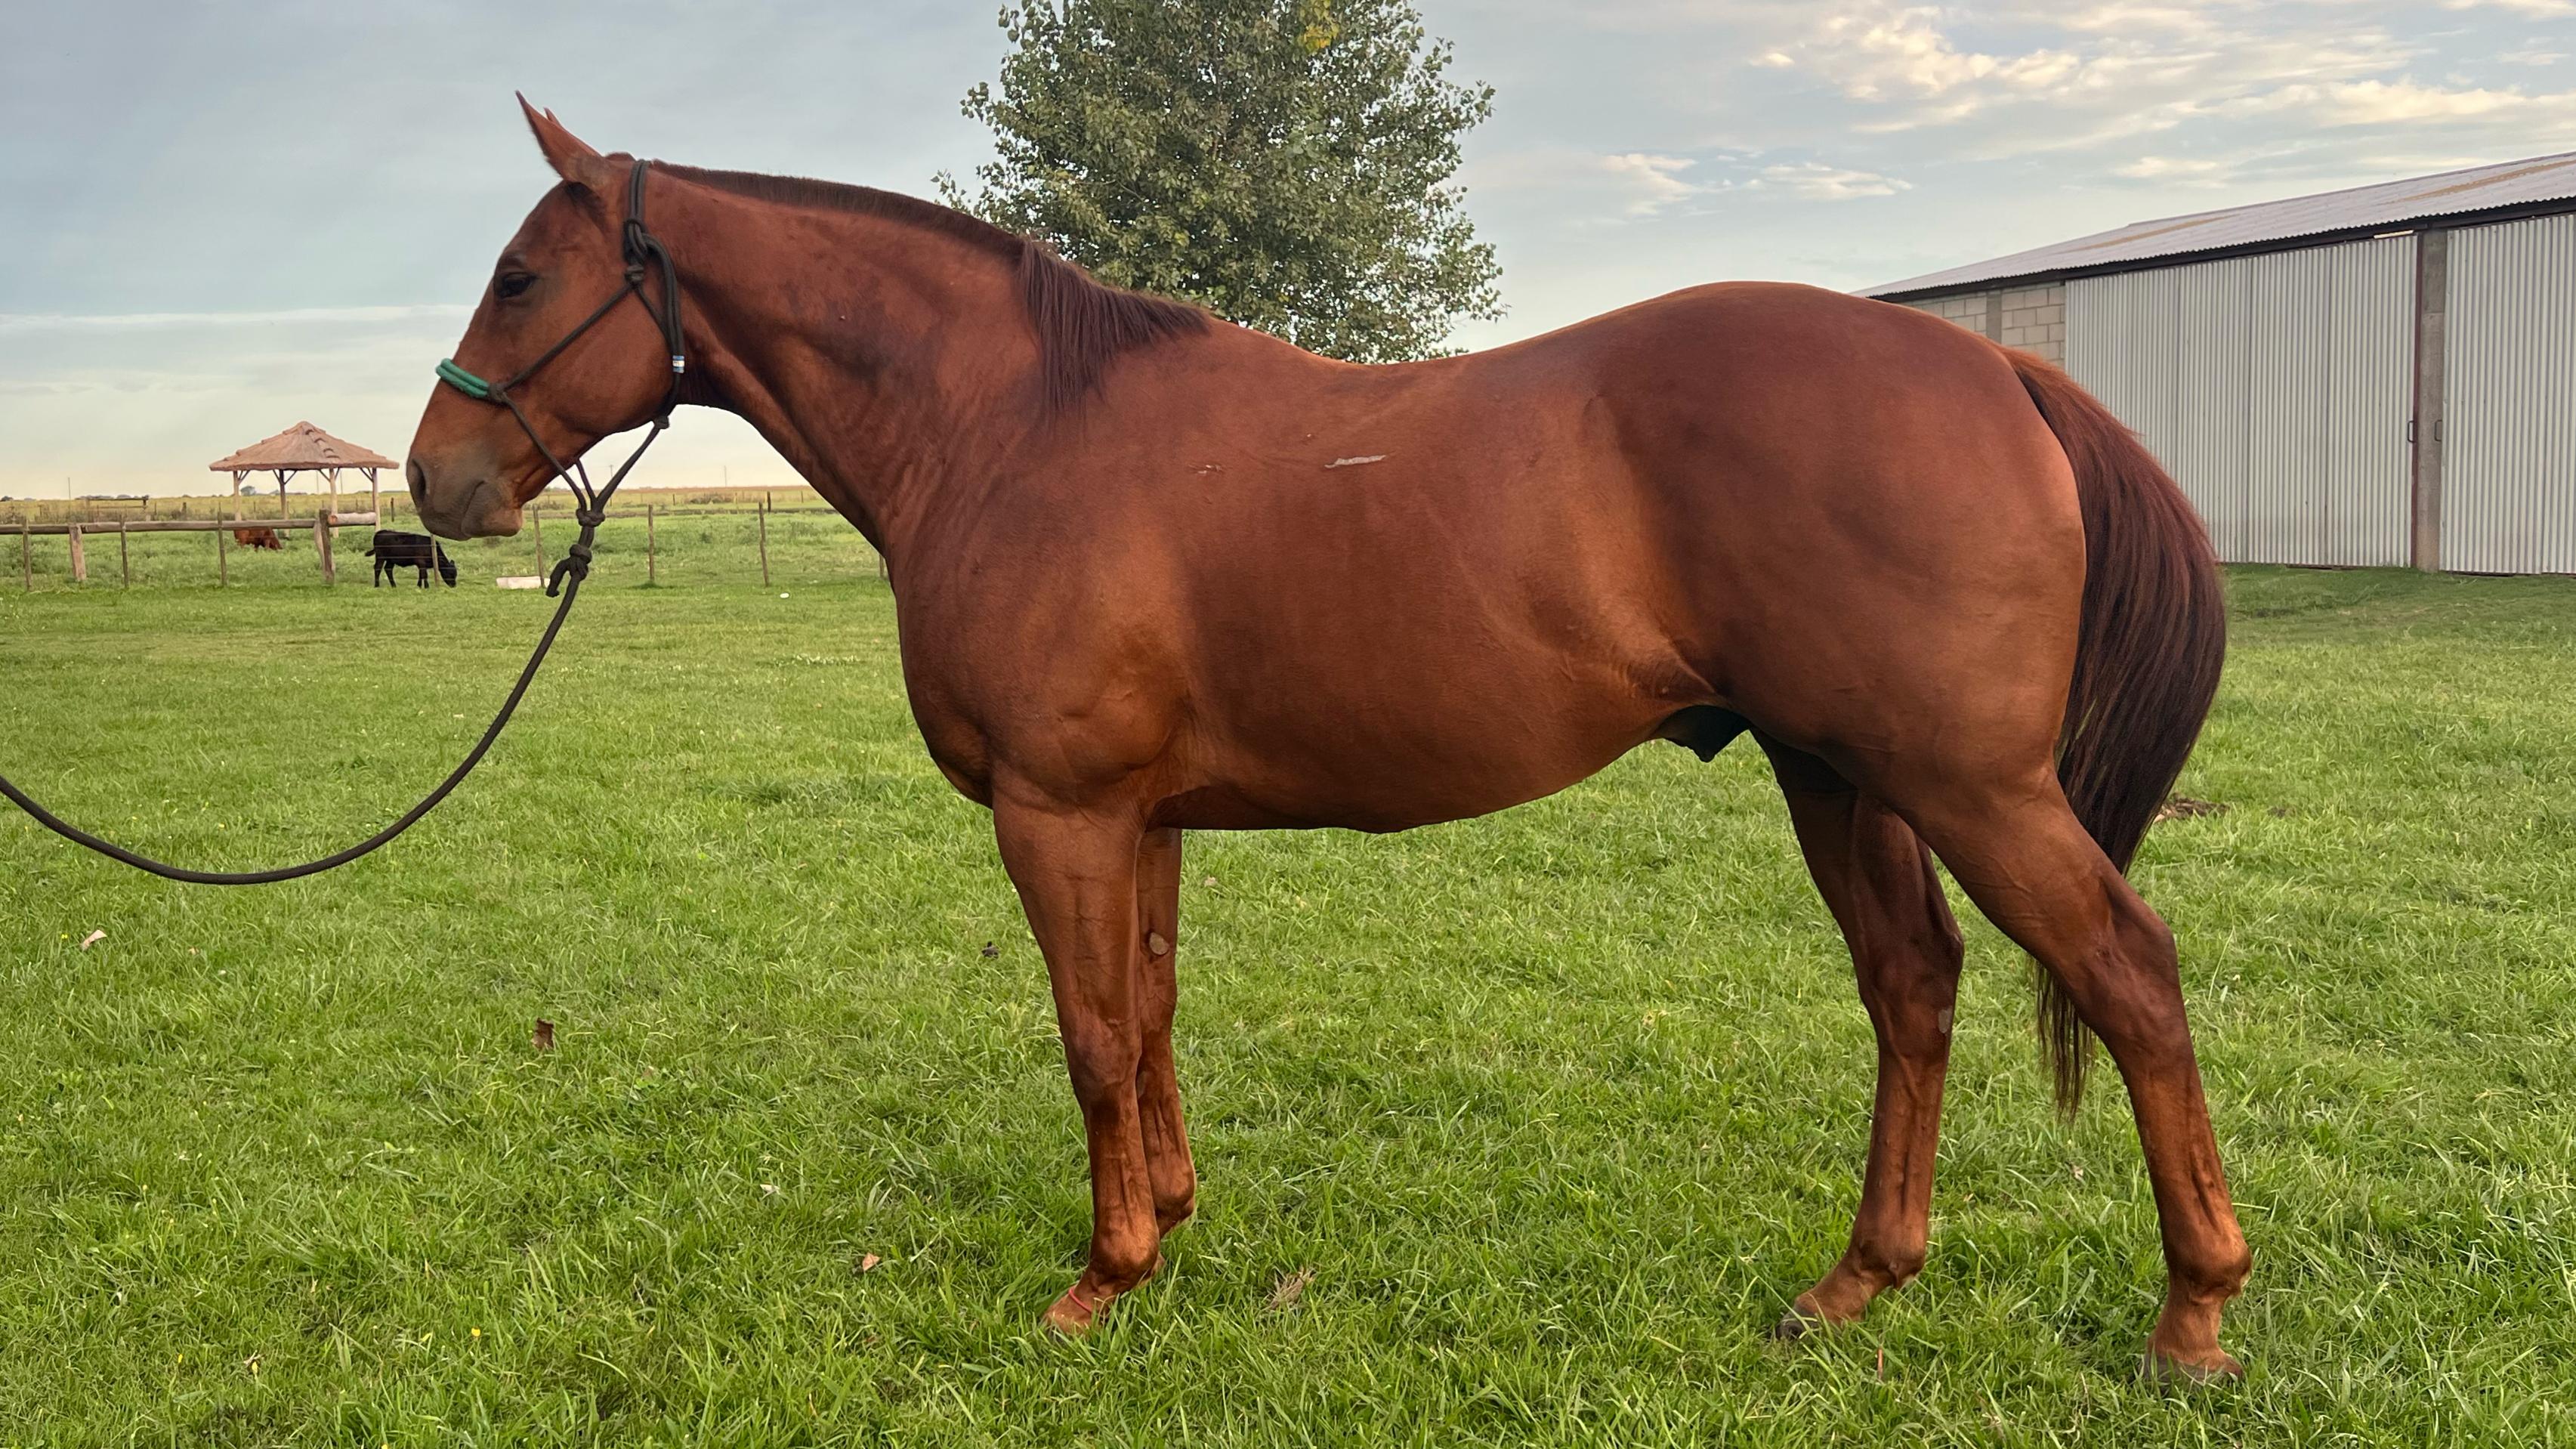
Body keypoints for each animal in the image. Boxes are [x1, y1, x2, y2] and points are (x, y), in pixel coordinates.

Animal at [403, 102, 2248, 1380]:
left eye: (519, 274)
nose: (435, 480)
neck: (1013, 426)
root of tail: (1996, 372)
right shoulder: (1140, 817)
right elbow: (1148, 1015)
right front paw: (1168, 1223)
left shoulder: (1056, 811)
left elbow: (1090, 1036)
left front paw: (1100, 1279)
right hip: (1841, 777)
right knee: (1913, 988)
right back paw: (1855, 1281)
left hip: (1968, 787)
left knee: (2130, 975)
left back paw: (2191, 1315)